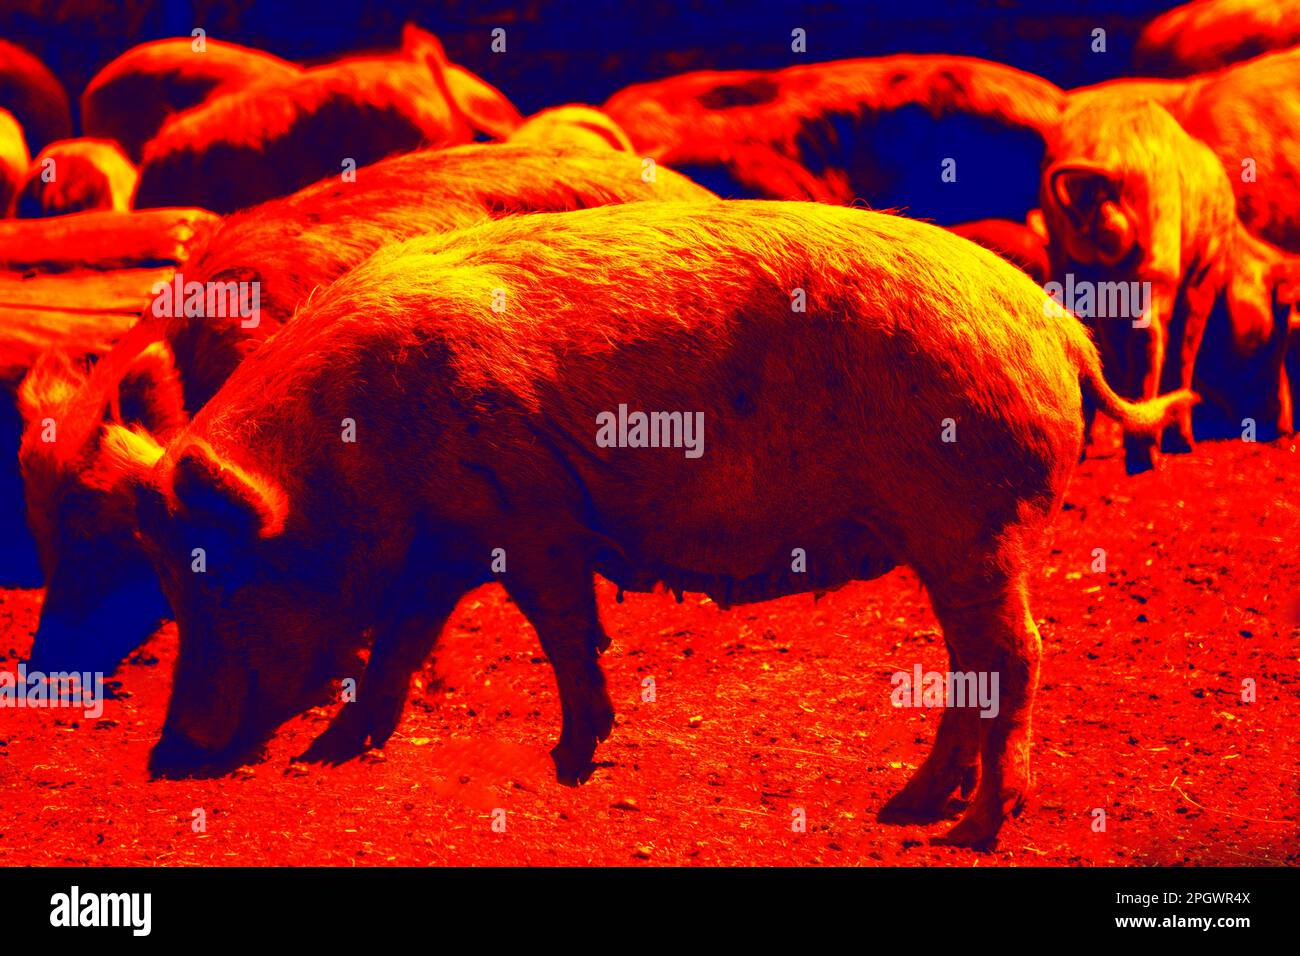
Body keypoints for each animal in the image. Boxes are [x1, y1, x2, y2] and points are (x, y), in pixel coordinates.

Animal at [108, 200, 1192, 848]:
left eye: (223, 583)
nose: (169, 758)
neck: (354, 448)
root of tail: (1056, 327)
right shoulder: (444, 544)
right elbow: (402, 641)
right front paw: (333, 751)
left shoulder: (531, 512)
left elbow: (560, 627)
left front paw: (571, 760)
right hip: (955, 538)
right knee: (974, 662)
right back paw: (908, 807)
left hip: (977, 525)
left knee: (1017, 654)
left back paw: (974, 828)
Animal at [1042, 95, 1296, 473]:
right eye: (1274, 328)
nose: (1285, 428)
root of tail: (1106, 152)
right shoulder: (1204, 273)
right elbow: (1185, 345)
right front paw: (1182, 443)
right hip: (1158, 243)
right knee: (1149, 332)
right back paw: (1146, 456)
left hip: (1064, 258)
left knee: (1077, 327)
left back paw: (1085, 449)